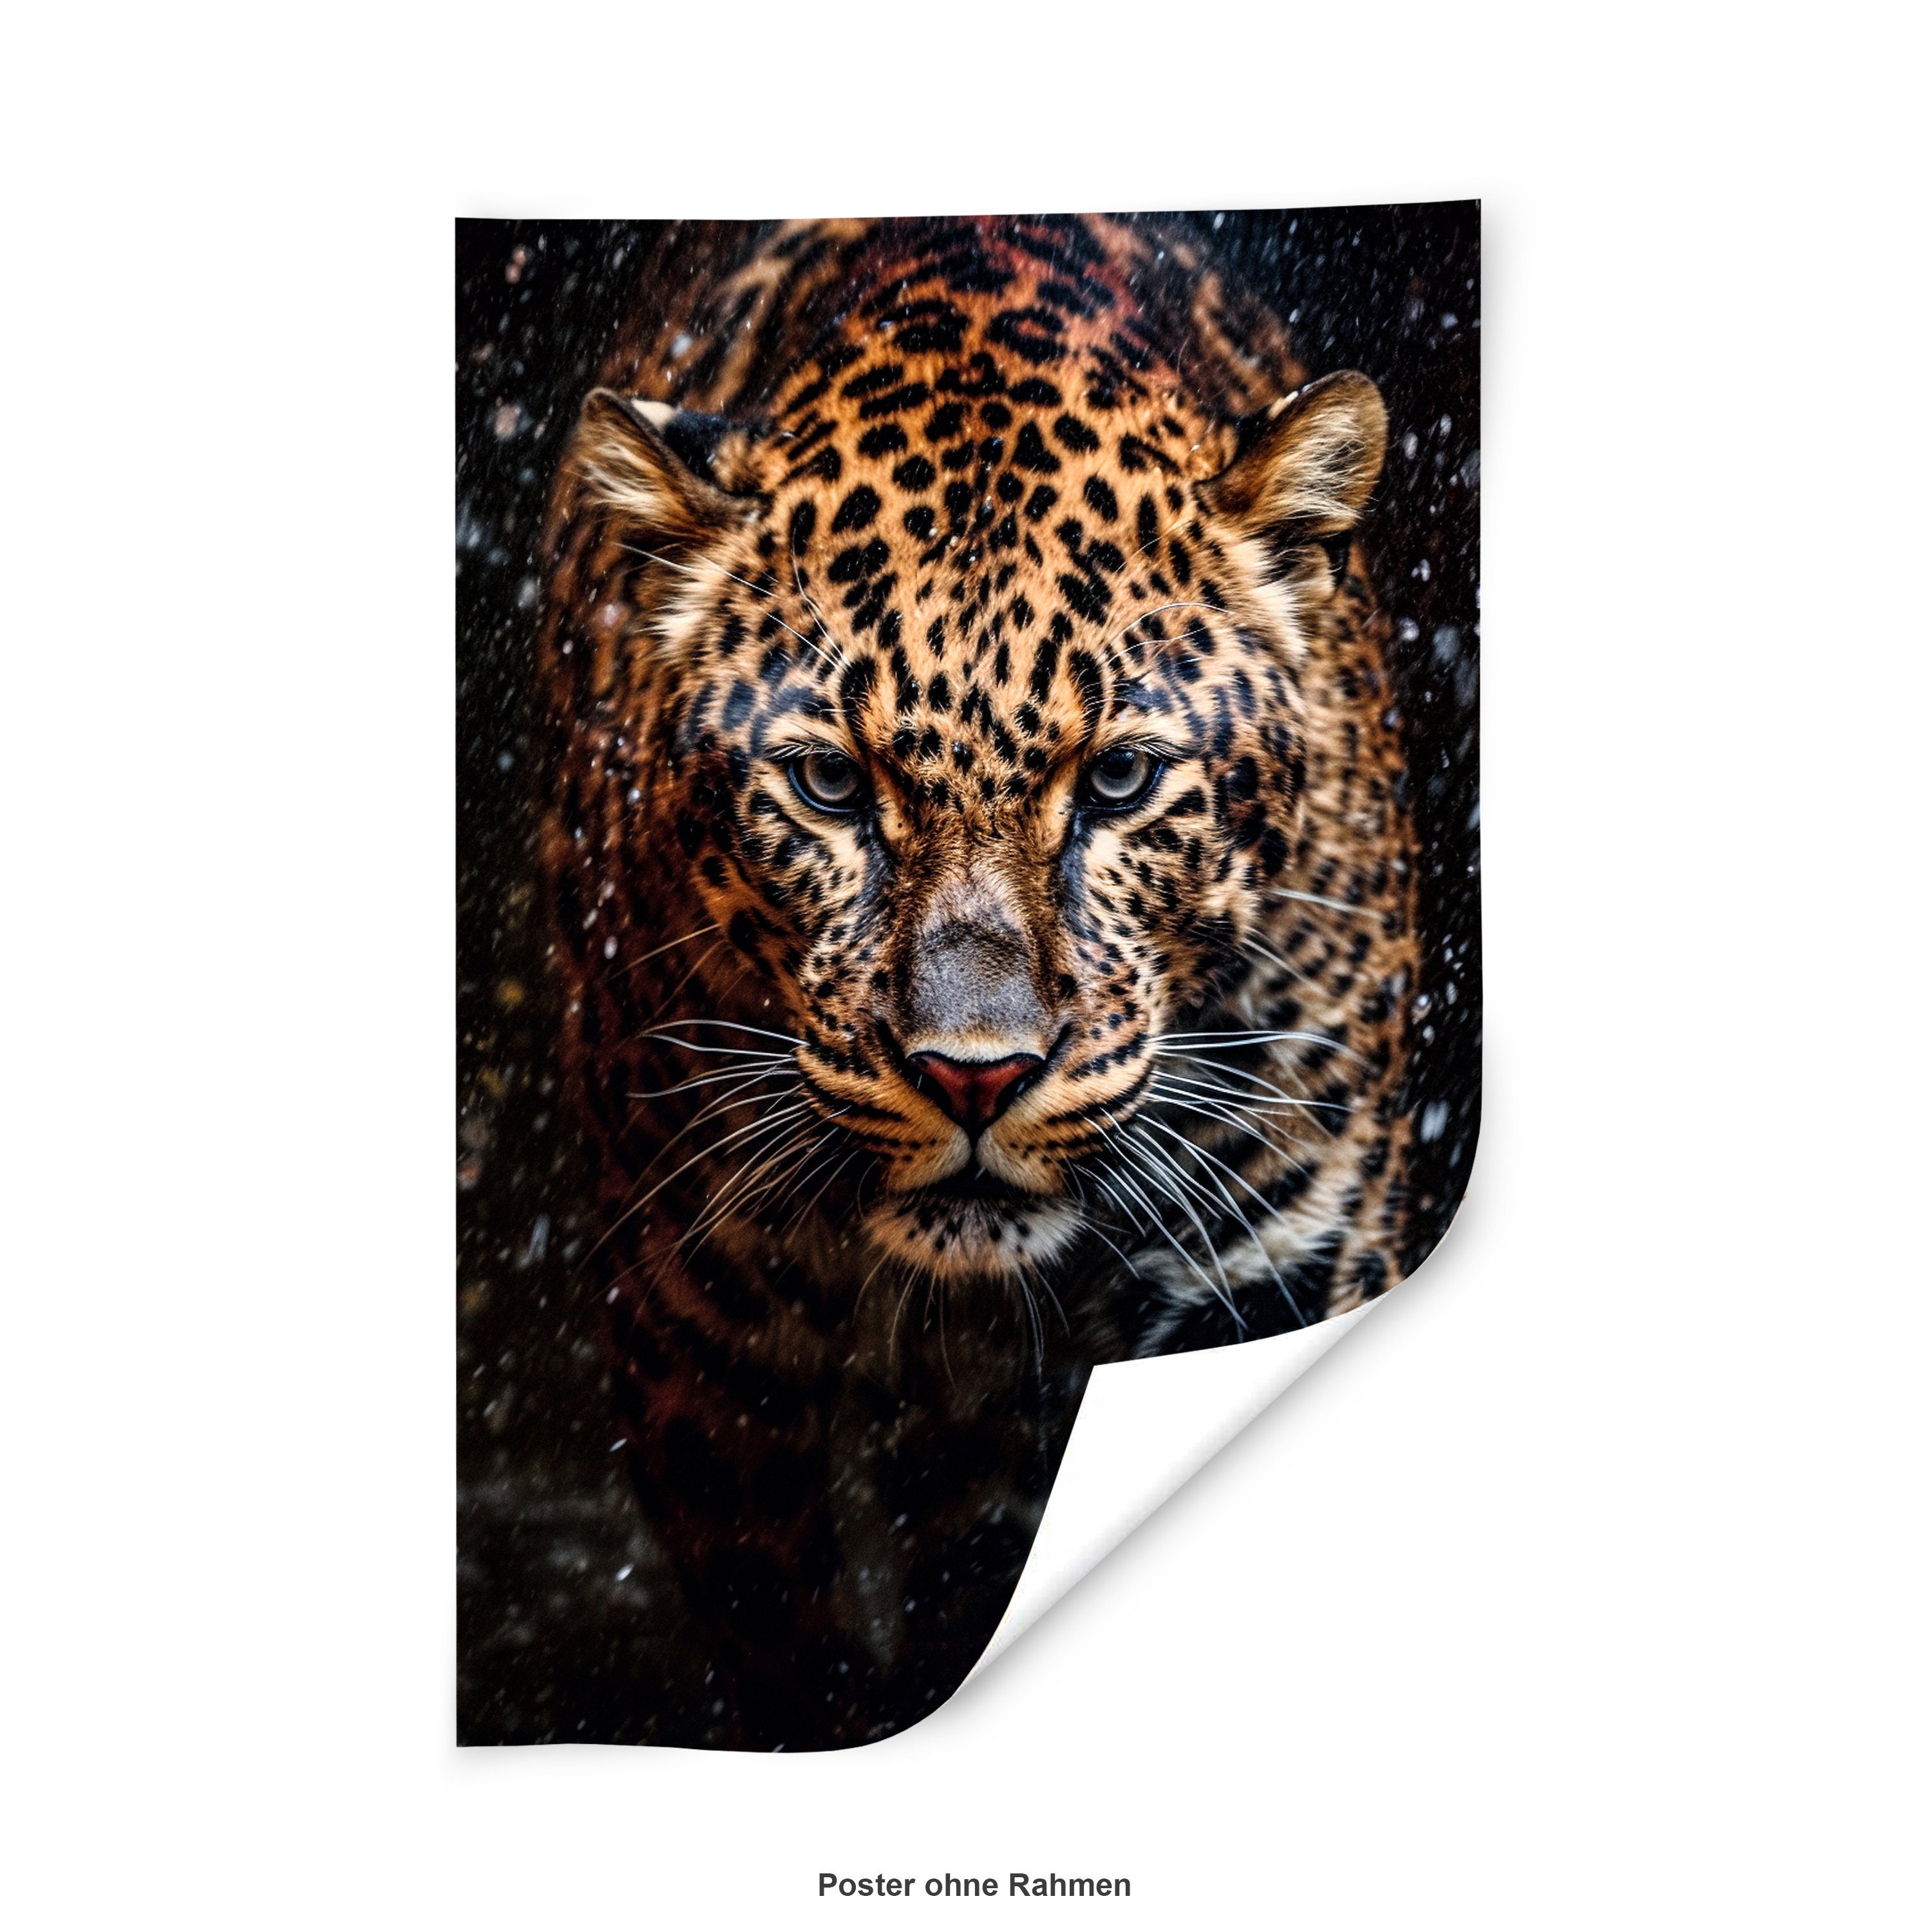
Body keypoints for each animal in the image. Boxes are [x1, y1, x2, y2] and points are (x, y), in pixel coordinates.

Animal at [534, 215, 1432, 1749]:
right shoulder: (697, 1326)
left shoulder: (1287, 1257)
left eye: (1121, 780)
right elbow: (785, 1640)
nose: (976, 1077)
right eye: (829, 785)